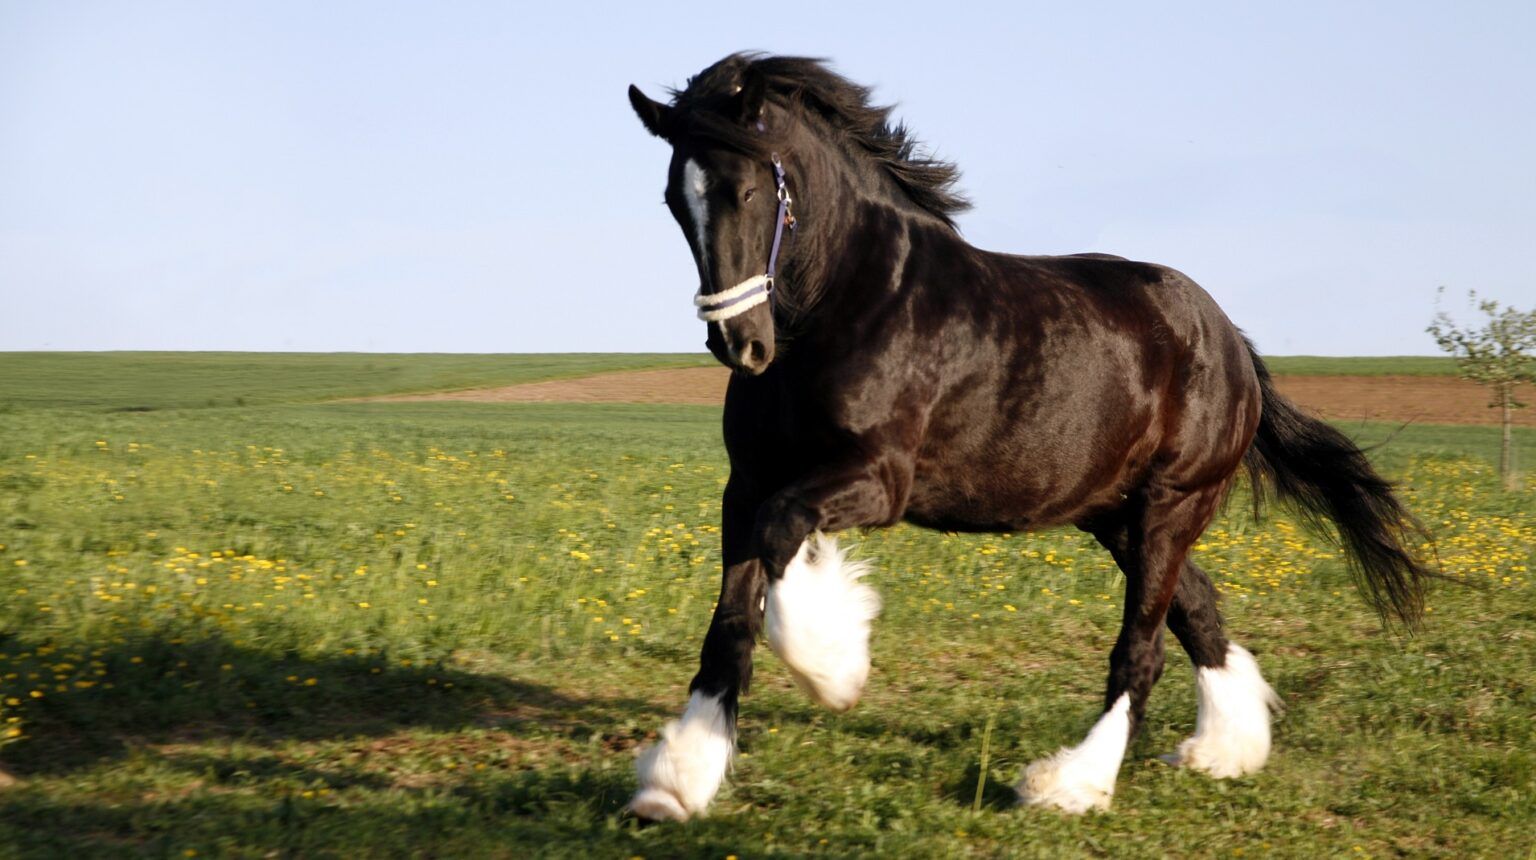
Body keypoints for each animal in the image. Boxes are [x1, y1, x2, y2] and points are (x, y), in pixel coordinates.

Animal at [623, 53, 1432, 820]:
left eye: (747, 191)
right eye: (674, 199)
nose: (740, 345)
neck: (850, 301)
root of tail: (1231, 341)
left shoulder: (878, 479)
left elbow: (785, 534)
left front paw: (835, 668)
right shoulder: (747, 483)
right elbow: (730, 626)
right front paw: (676, 783)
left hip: (1172, 504)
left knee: (1141, 650)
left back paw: (1070, 784)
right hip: (1118, 516)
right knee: (1197, 611)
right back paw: (1225, 750)